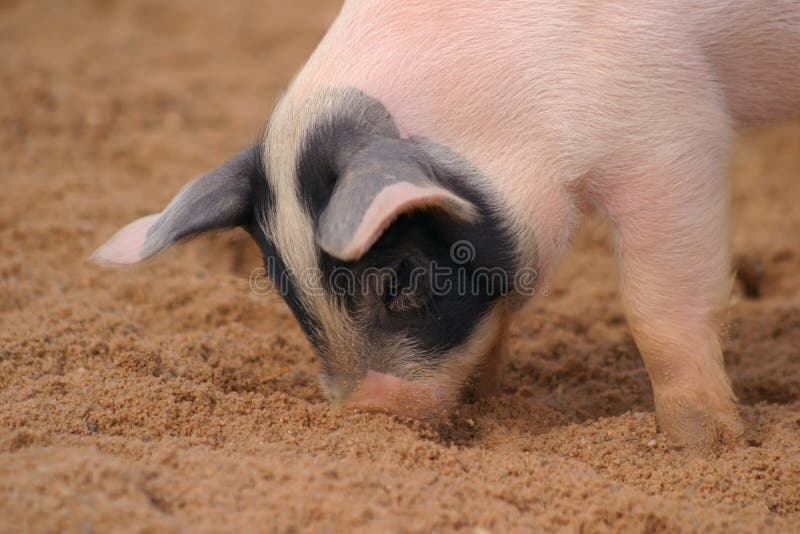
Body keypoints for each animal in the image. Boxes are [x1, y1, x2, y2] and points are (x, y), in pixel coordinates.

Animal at [92, 0, 800, 447]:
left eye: (402, 281)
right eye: (290, 299)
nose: (367, 411)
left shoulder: (674, 136)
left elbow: (657, 309)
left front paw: (705, 446)